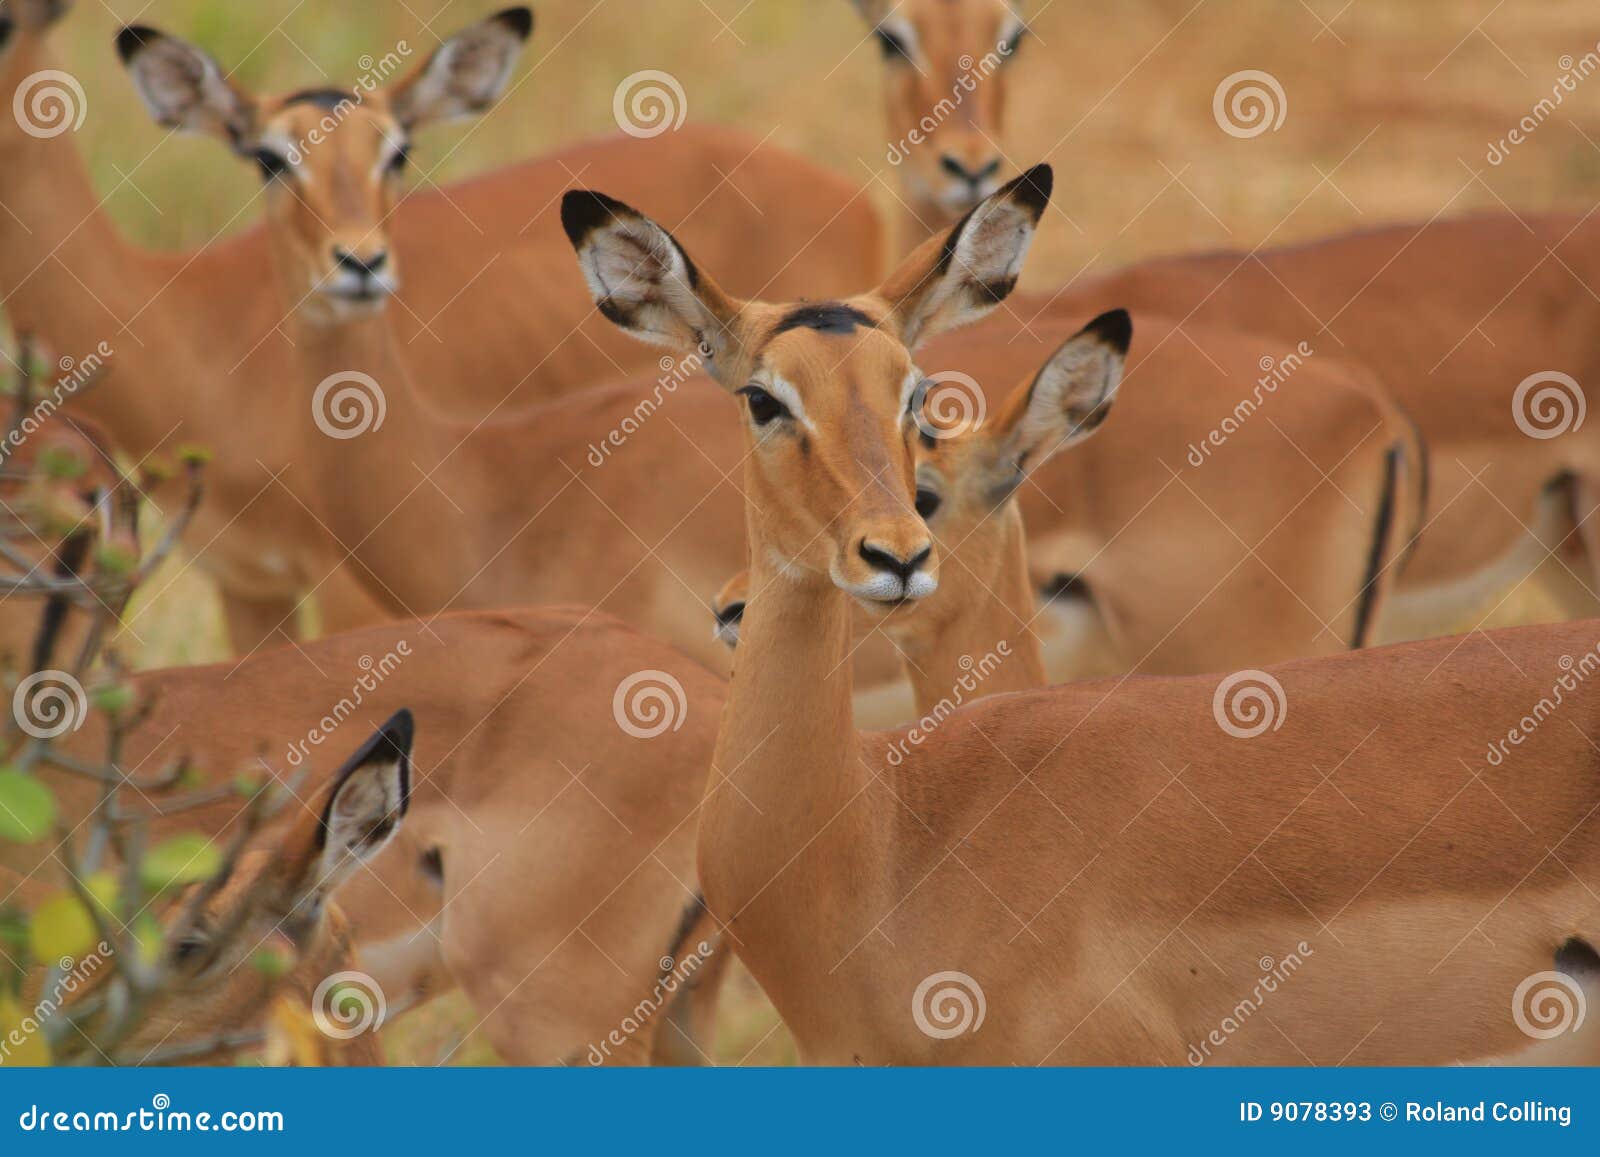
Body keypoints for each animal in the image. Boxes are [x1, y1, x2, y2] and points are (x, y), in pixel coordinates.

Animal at [0, 1, 881, 653]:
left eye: (398, 149)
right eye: (269, 157)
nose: (359, 263)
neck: (187, 321)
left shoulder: (340, 588)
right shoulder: (246, 584)